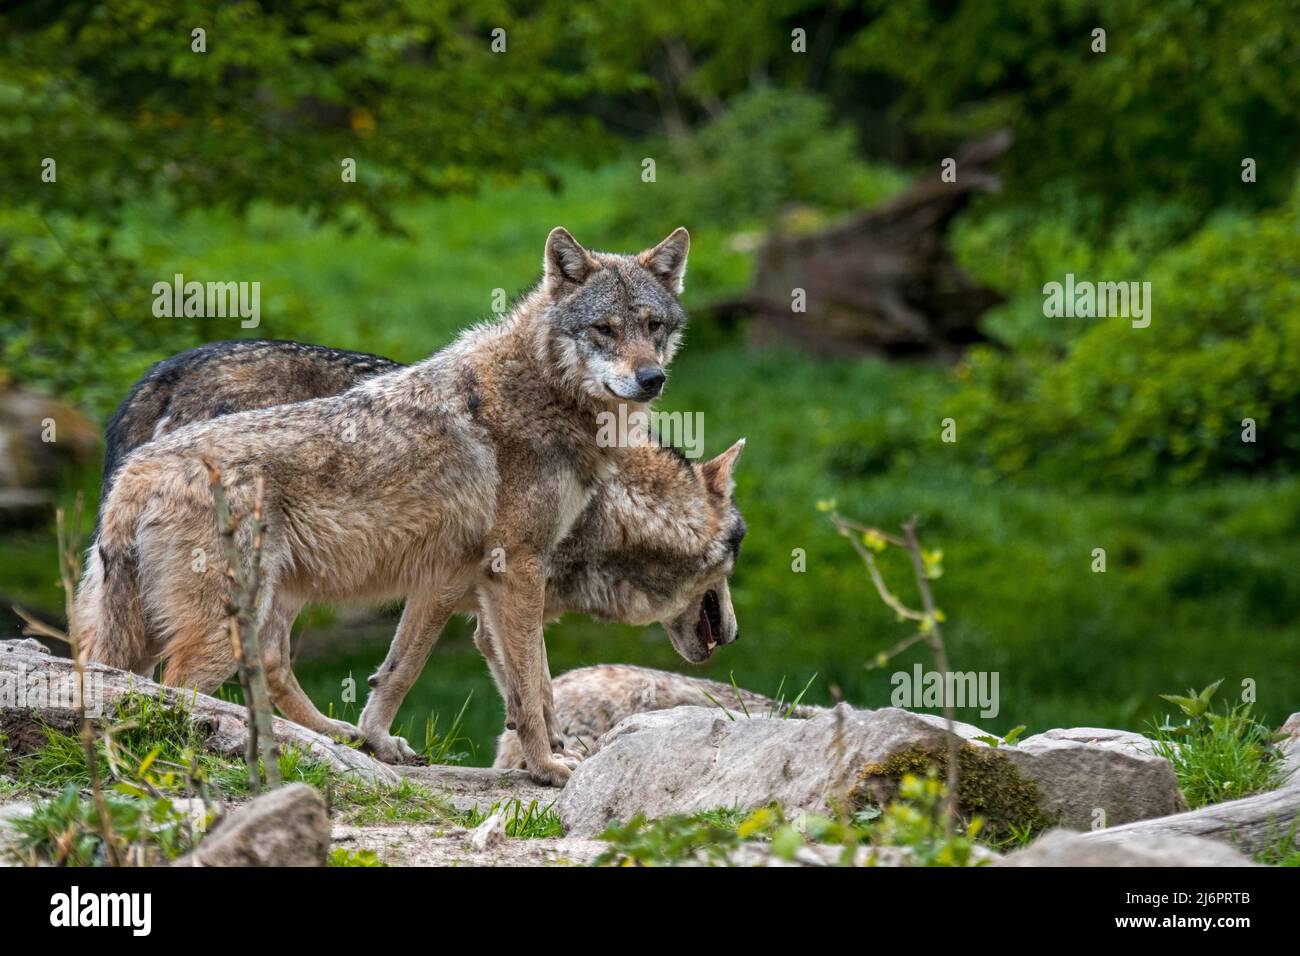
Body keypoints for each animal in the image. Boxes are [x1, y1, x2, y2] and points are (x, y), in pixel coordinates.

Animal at [79, 227, 712, 784]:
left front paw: (382, 742)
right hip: (225, 624)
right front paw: (548, 767)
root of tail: (135, 471)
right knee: (181, 687)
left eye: (653, 326)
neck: (544, 391)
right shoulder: (517, 568)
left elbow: (406, 671)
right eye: (604, 329)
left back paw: (330, 738)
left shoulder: (455, 579)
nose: (652, 378)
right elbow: (532, 687)